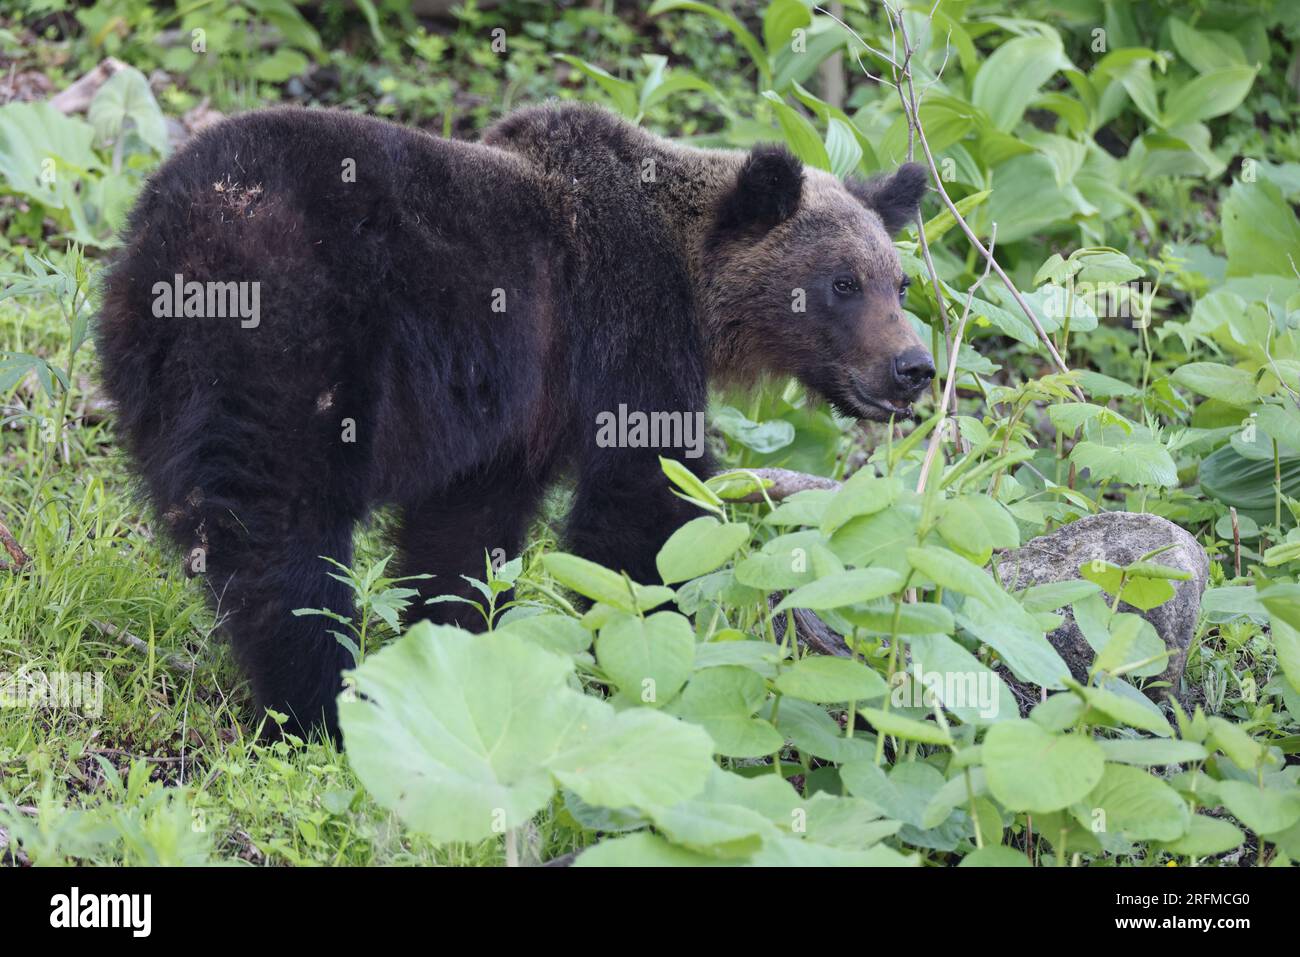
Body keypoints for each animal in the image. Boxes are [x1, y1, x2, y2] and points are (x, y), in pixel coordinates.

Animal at [95, 102, 933, 742]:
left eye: (899, 281)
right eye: (842, 282)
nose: (914, 366)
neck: (694, 286)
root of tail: (177, 229)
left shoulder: (510, 416)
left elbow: (464, 533)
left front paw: (458, 647)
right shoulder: (619, 335)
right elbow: (640, 509)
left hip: (153, 361)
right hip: (294, 335)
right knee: (283, 530)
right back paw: (318, 698)